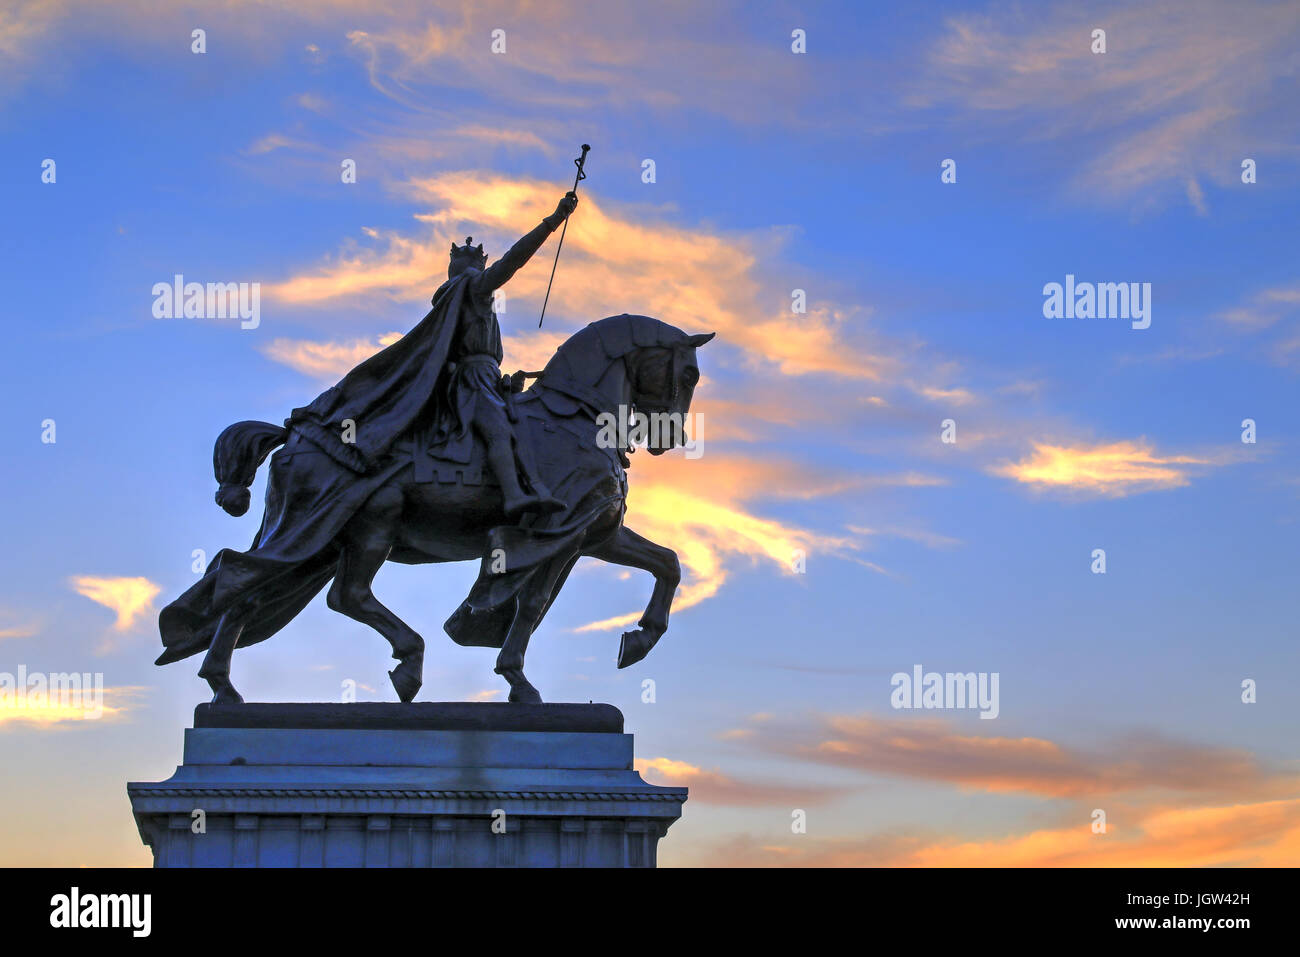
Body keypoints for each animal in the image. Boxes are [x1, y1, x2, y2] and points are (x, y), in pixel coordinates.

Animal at [159, 314, 722, 702]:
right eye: (691, 373)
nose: (669, 439)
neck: (577, 418)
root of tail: (292, 437)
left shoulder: (599, 532)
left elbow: (668, 563)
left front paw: (639, 639)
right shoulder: (564, 531)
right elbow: (532, 602)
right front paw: (519, 680)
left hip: (320, 536)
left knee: (246, 586)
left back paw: (223, 687)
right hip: (364, 524)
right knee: (323, 590)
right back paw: (409, 660)